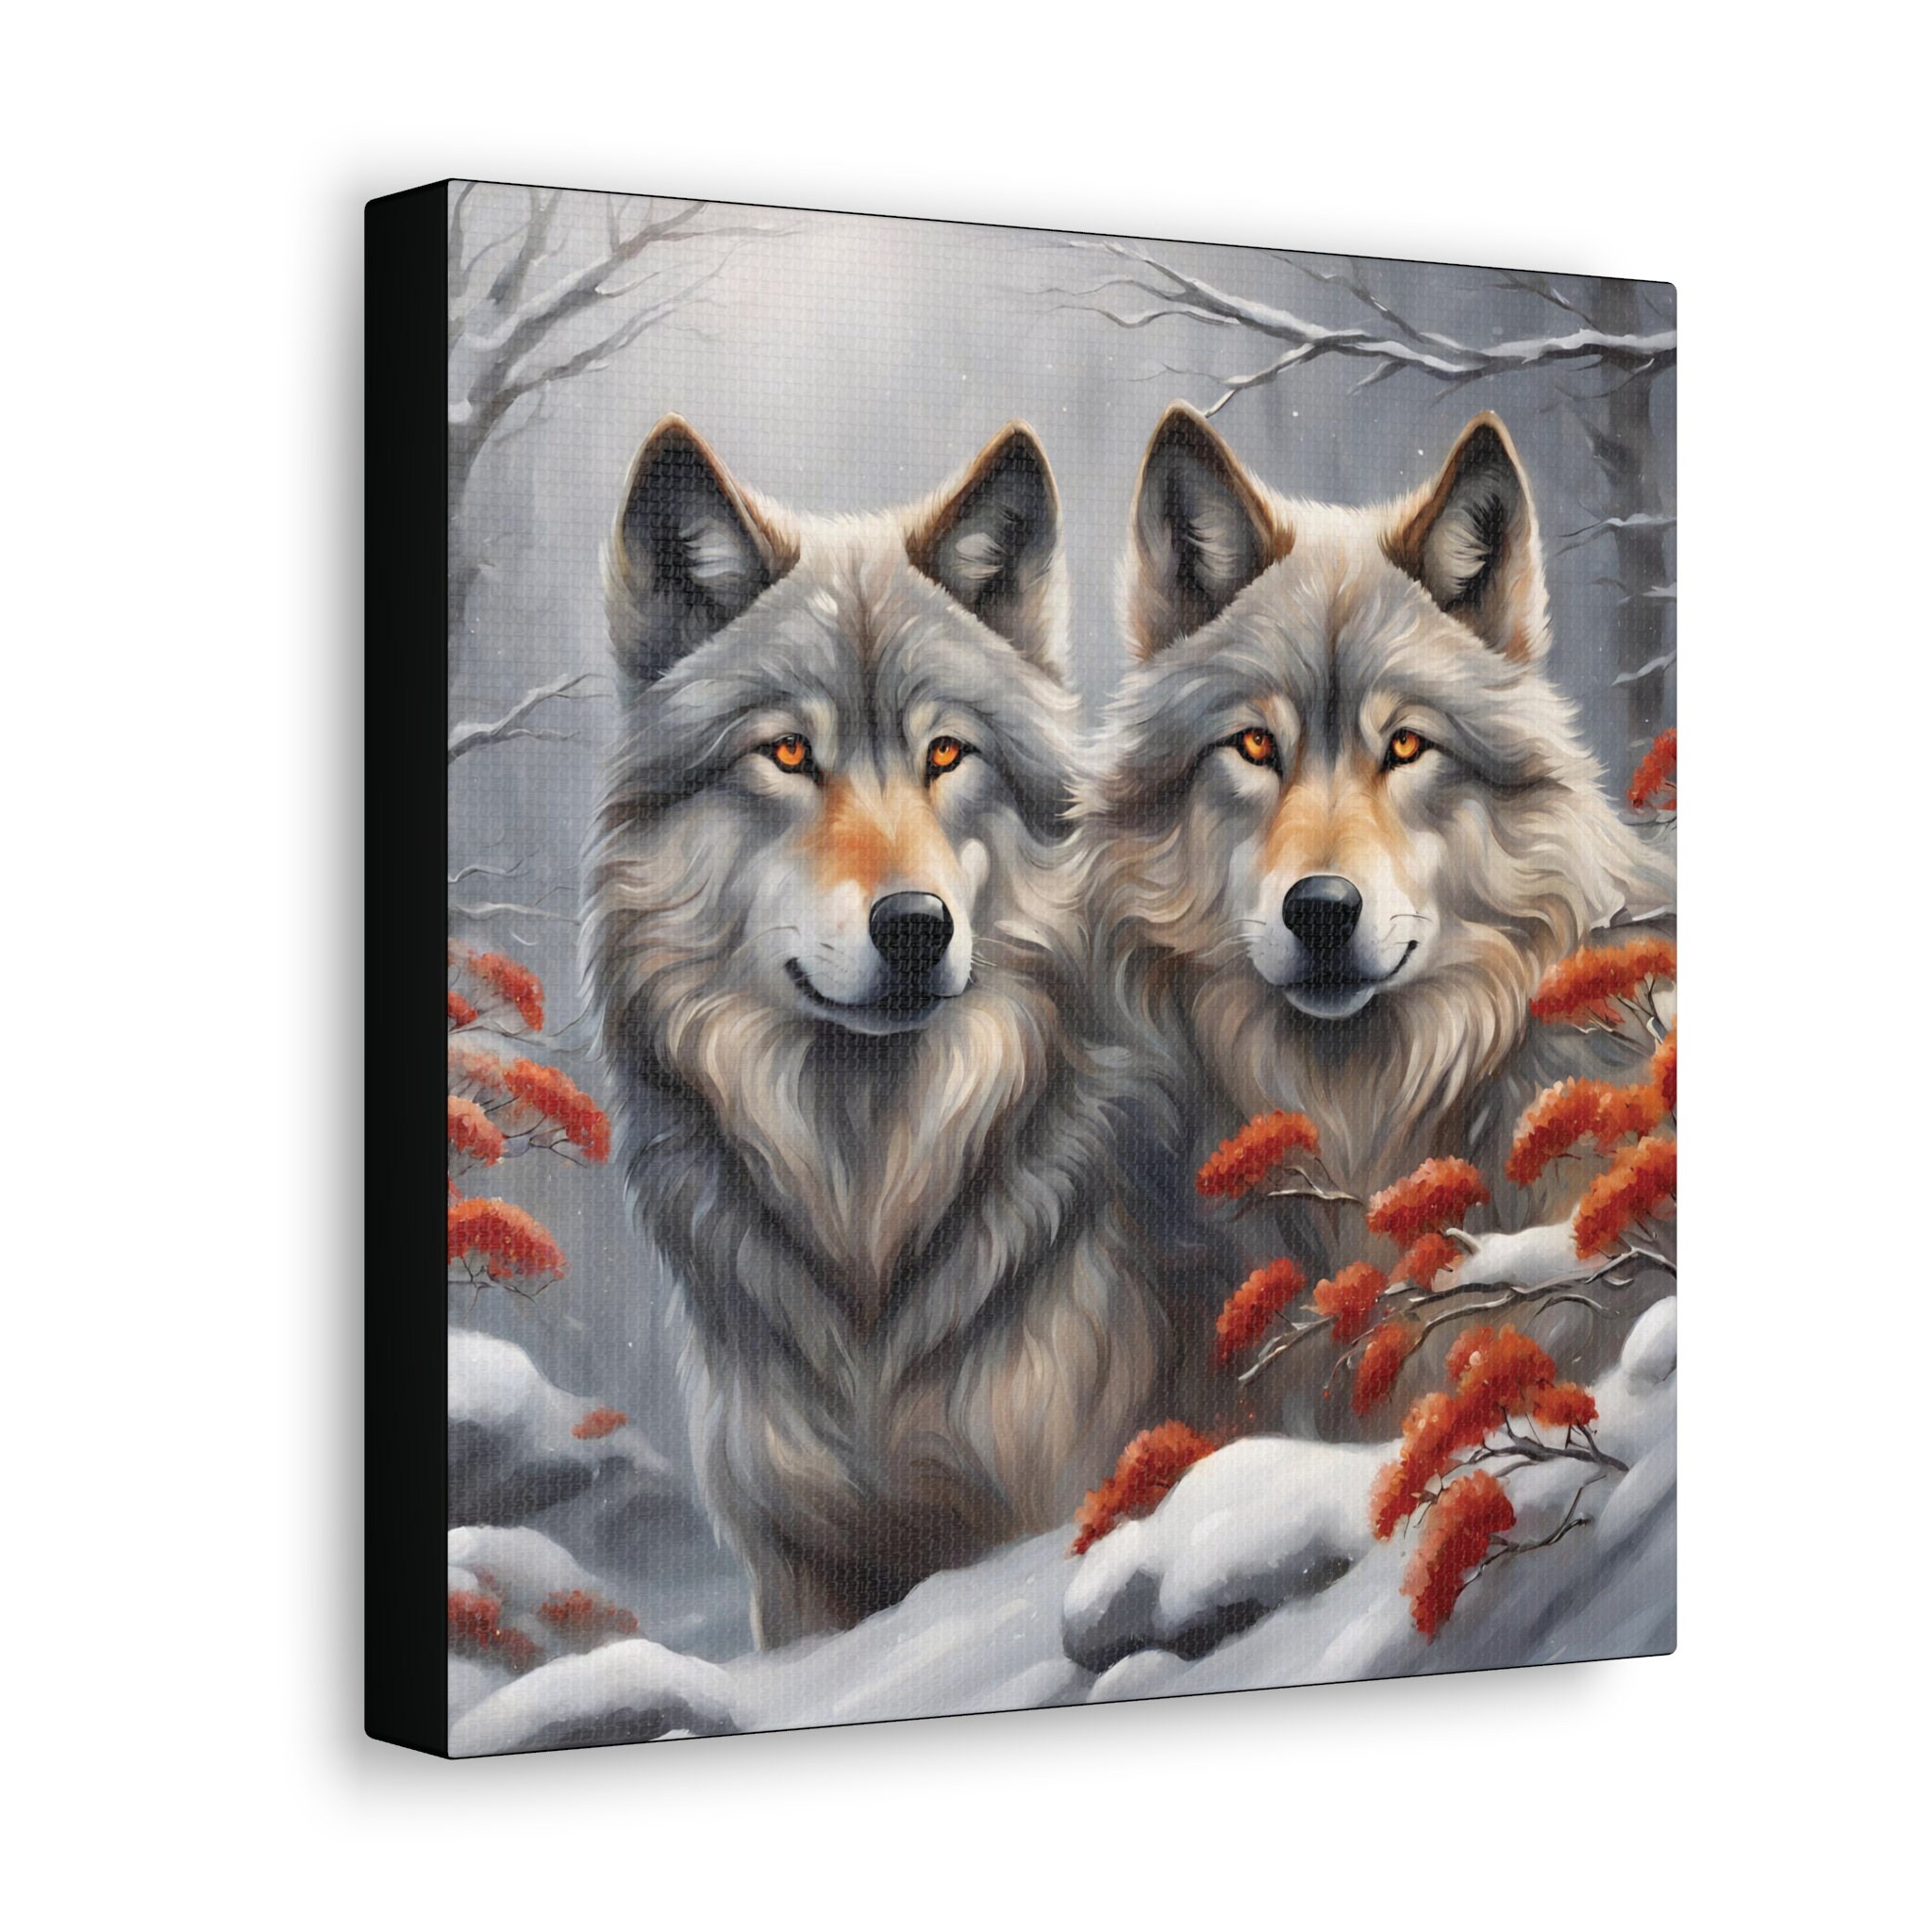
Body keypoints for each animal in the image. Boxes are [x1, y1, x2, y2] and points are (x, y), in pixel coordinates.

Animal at [586, 418, 1180, 1645]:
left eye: (946, 754)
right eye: (787, 755)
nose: (914, 926)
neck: (868, 1207)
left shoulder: (1047, 1500)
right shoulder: (796, 1578)